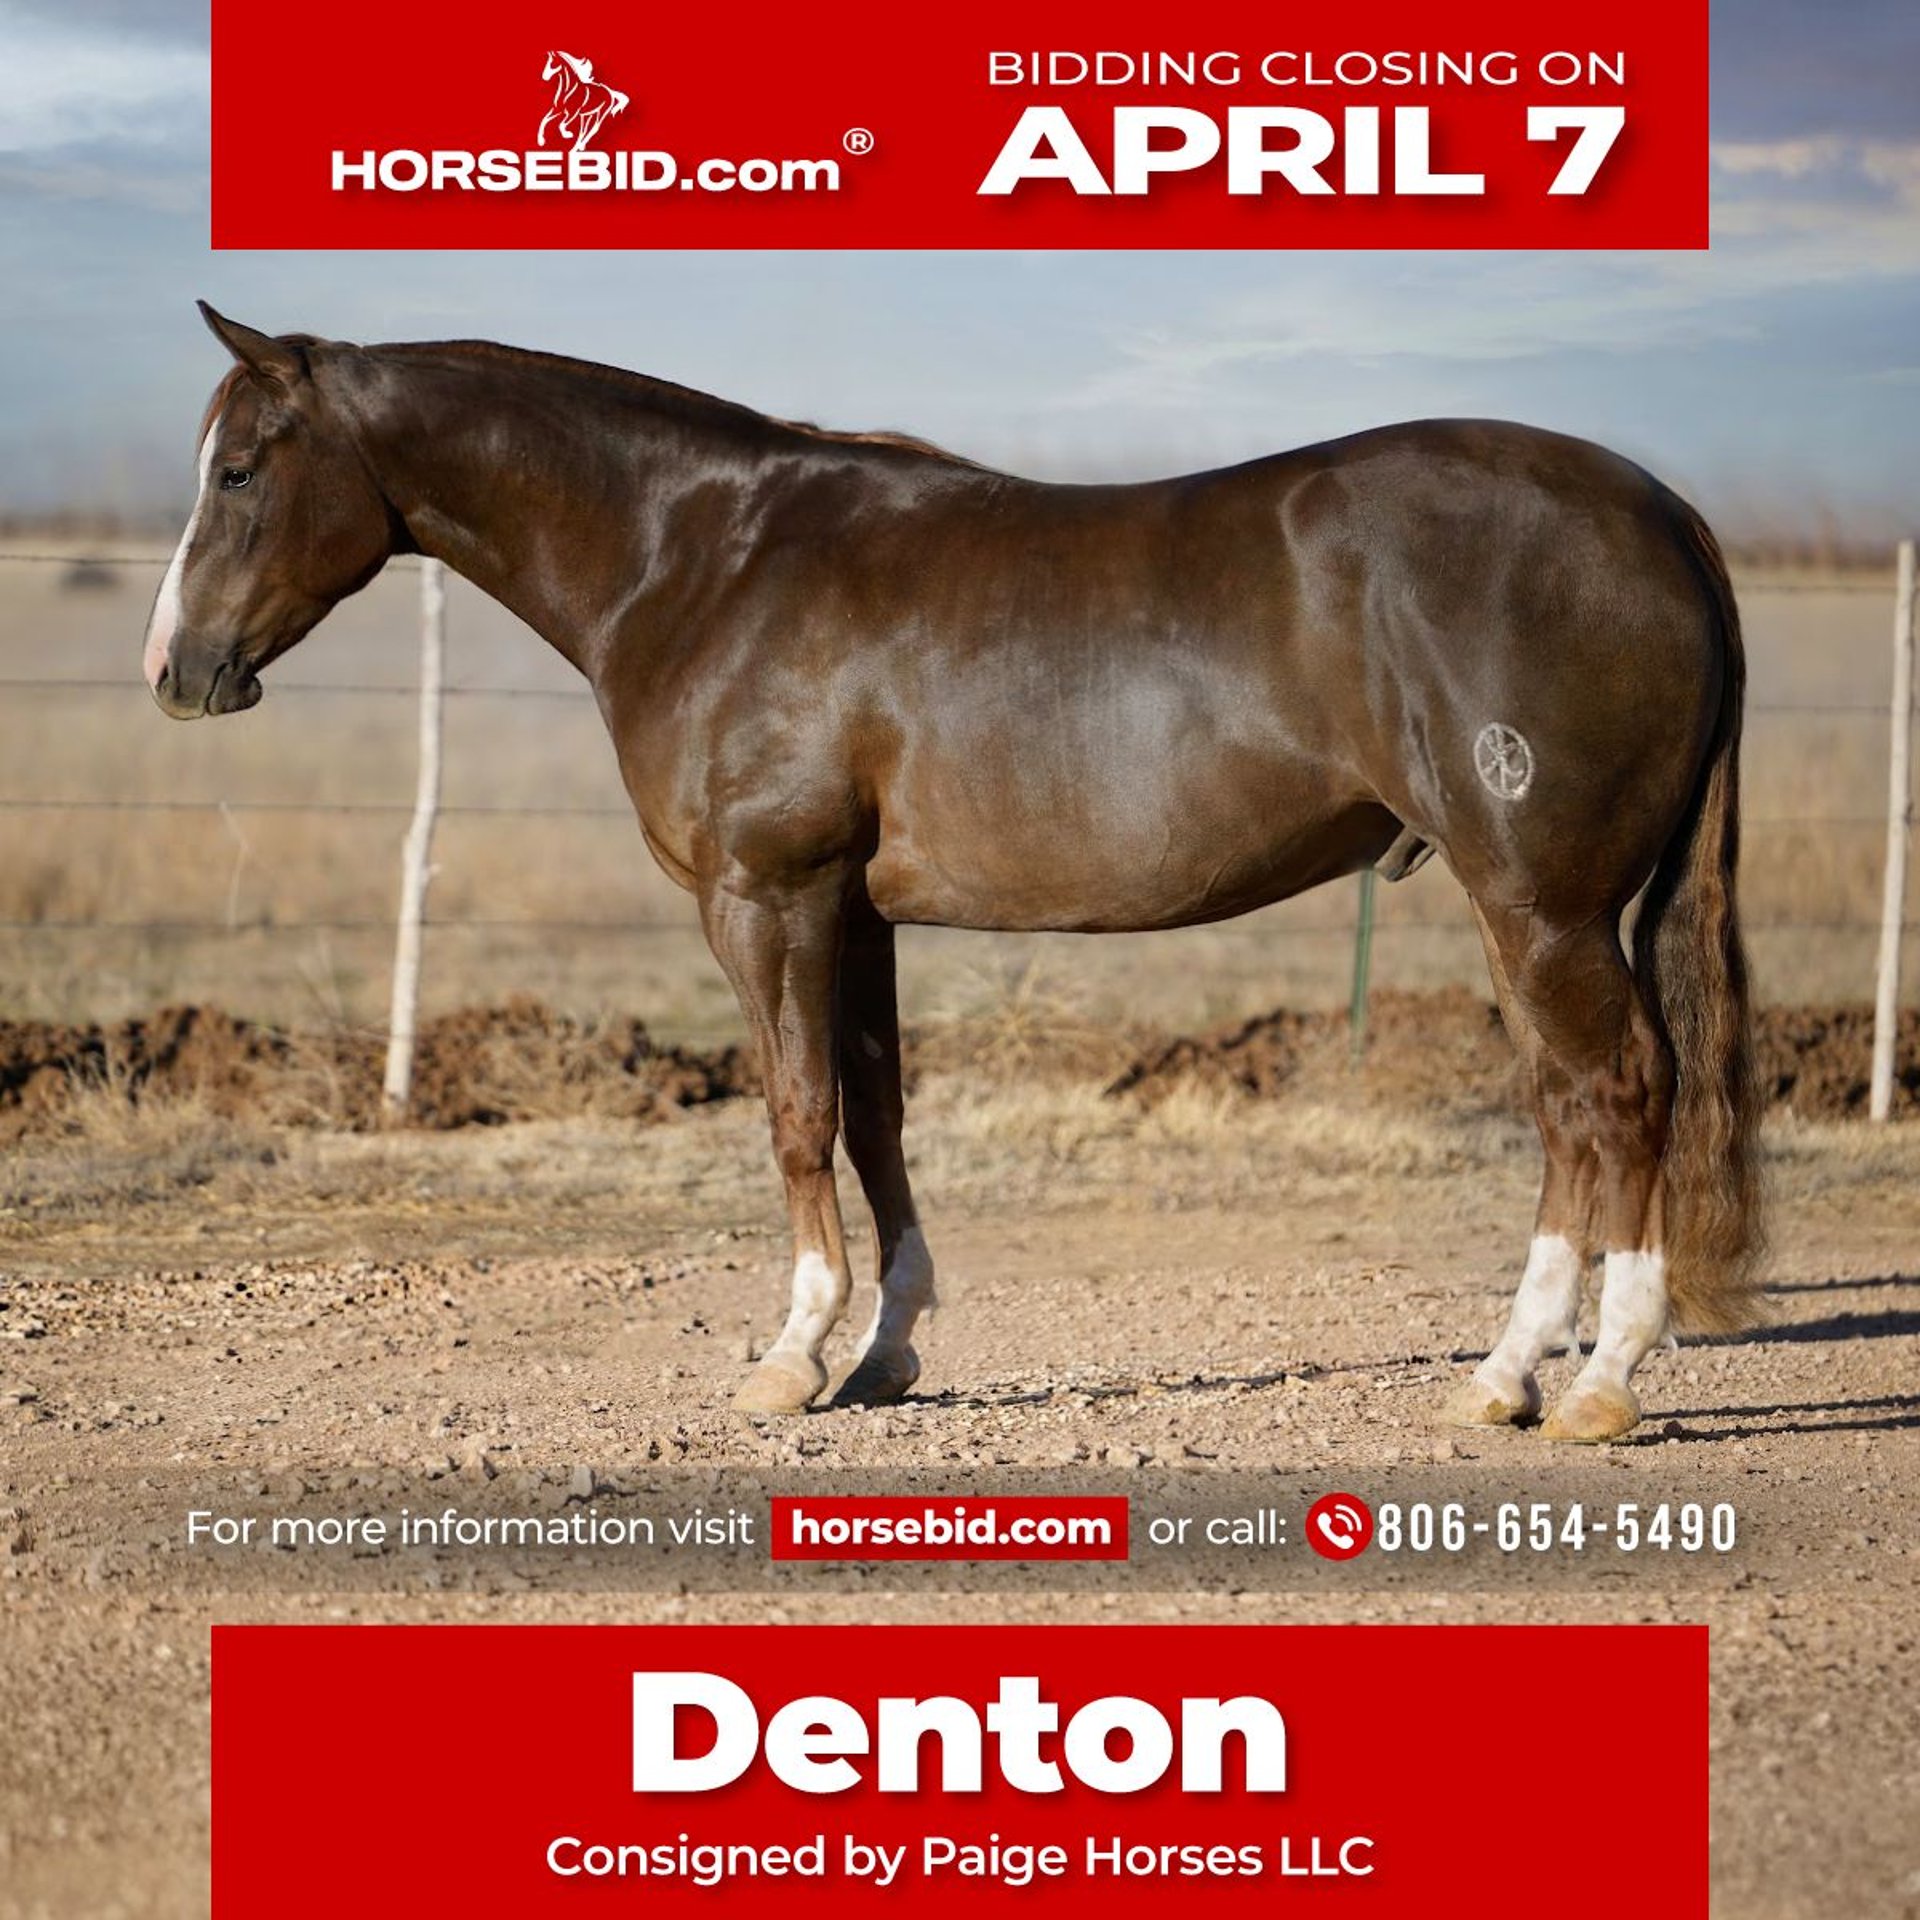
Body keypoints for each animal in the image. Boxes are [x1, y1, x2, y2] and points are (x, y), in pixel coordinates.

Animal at [143, 304, 1765, 1441]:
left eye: (239, 468)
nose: (176, 672)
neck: (702, 559)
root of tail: (1661, 512)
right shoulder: (855, 912)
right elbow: (876, 1117)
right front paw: (885, 1350)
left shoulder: (768, 896)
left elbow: (797, 1117)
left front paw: (790, 1356)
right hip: (1529, 914)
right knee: (1569, 1108)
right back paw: (1505, 1377)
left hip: (1542, 908)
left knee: (1620, 1091)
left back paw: (1601, 1380)